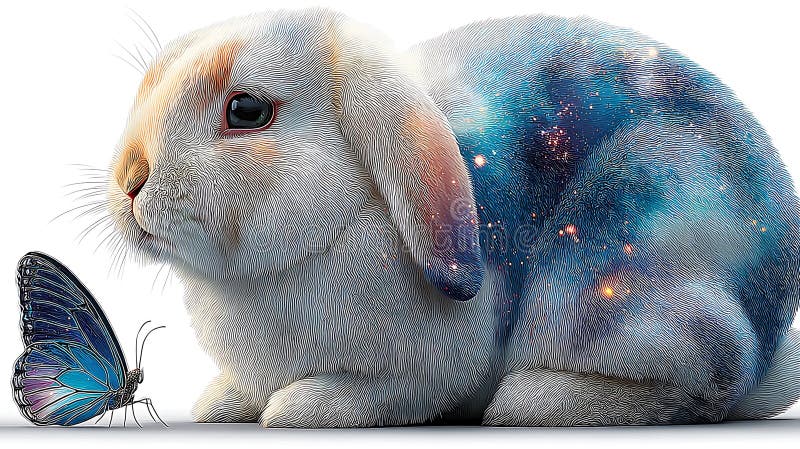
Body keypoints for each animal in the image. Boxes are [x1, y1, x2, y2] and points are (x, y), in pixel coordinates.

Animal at [107, 7, 800, 427]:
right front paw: (220, 402)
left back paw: (531, 401)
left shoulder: (425, 365)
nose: (129, 181)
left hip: (610, 281)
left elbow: (366, 394)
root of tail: (774, 322)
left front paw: (305, 404)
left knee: (703, 379)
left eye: (247, 110)